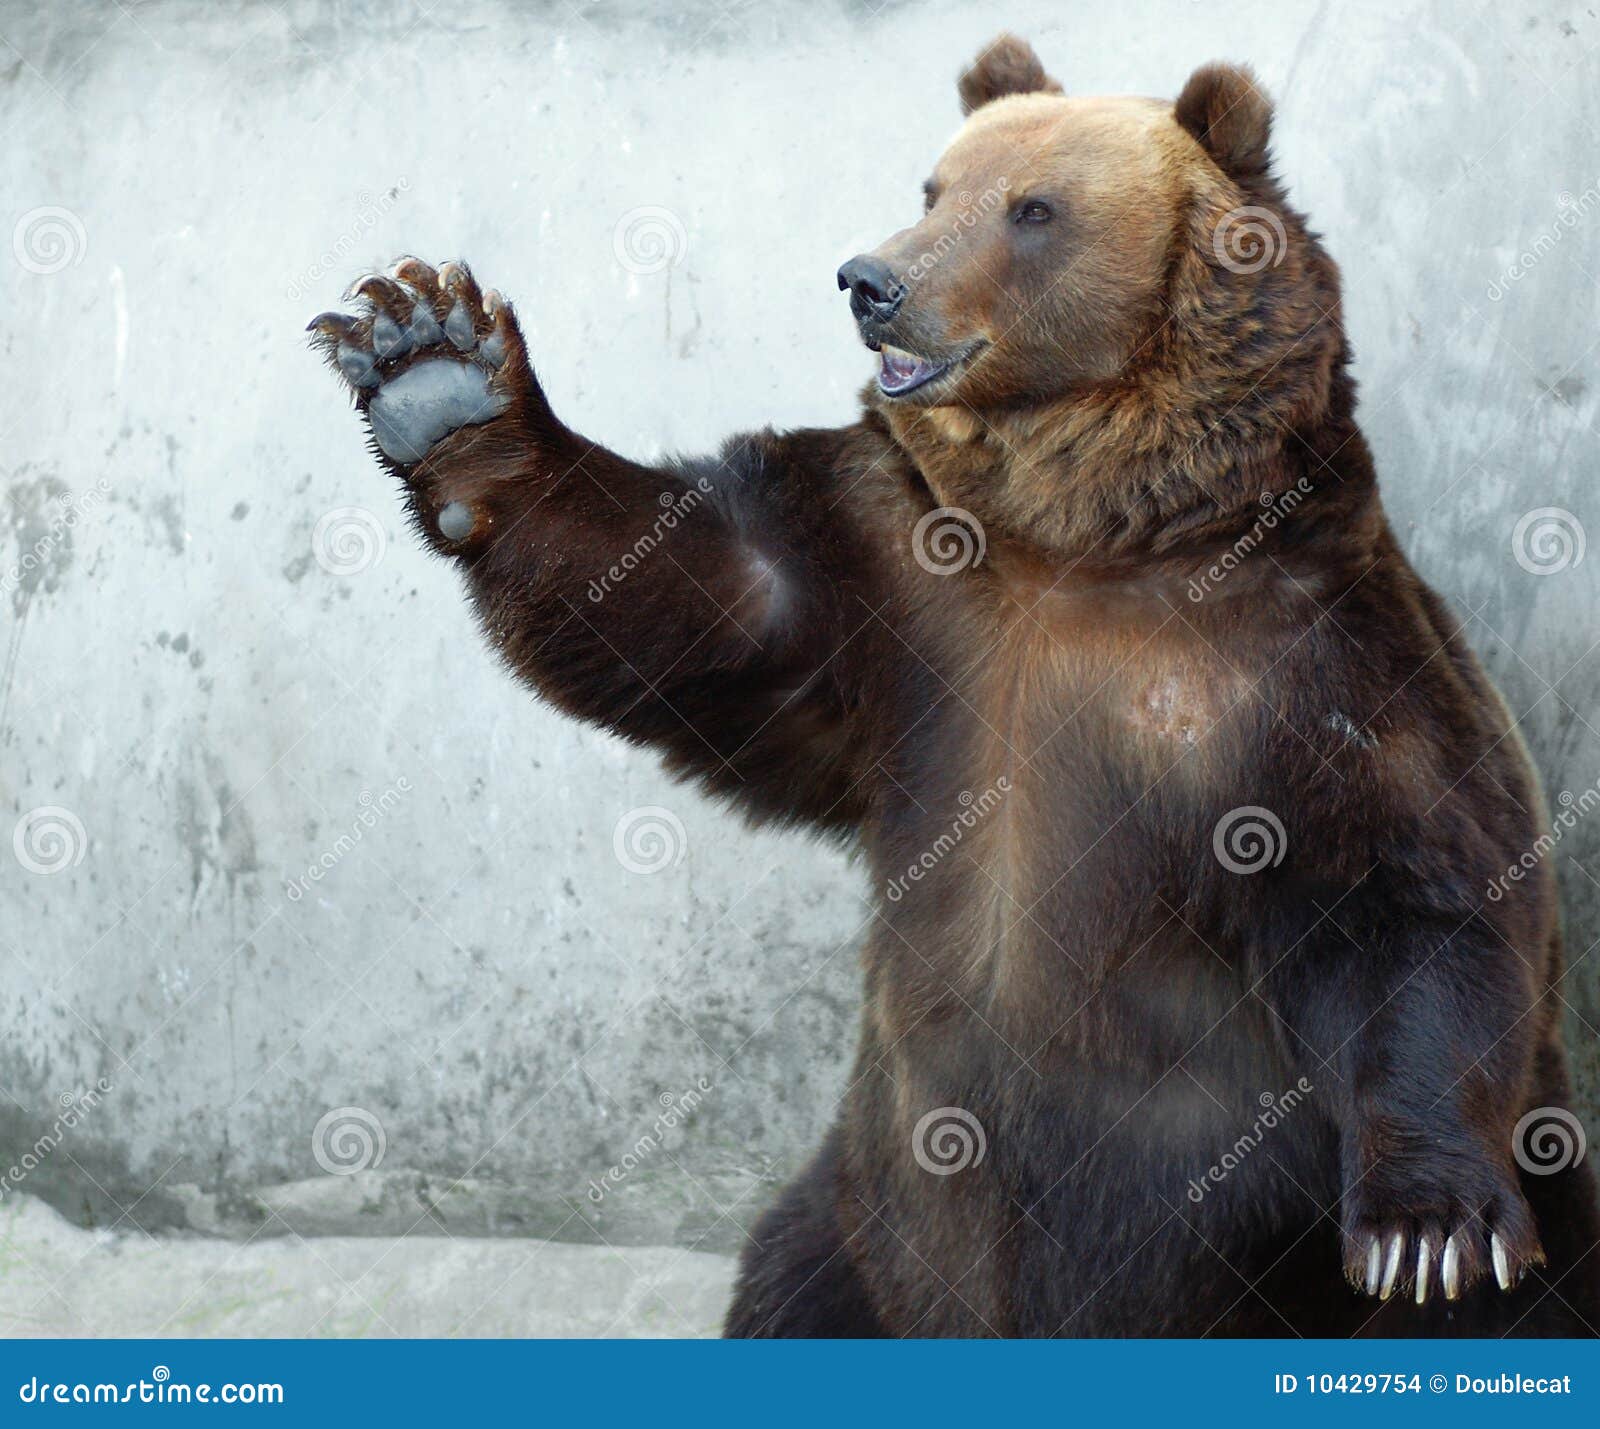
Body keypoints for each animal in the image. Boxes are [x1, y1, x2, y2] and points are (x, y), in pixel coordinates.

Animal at [309, 34, 1600, 1336]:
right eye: (934, 187)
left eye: (1032, 209)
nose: (868, 278)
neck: (1081, 538)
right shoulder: (896, 592)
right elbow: (699, 593)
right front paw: (432, 363)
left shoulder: (1301, 647)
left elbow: (1414, 885)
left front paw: (1424, 1228)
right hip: (864, 1221)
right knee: (789, 1282)